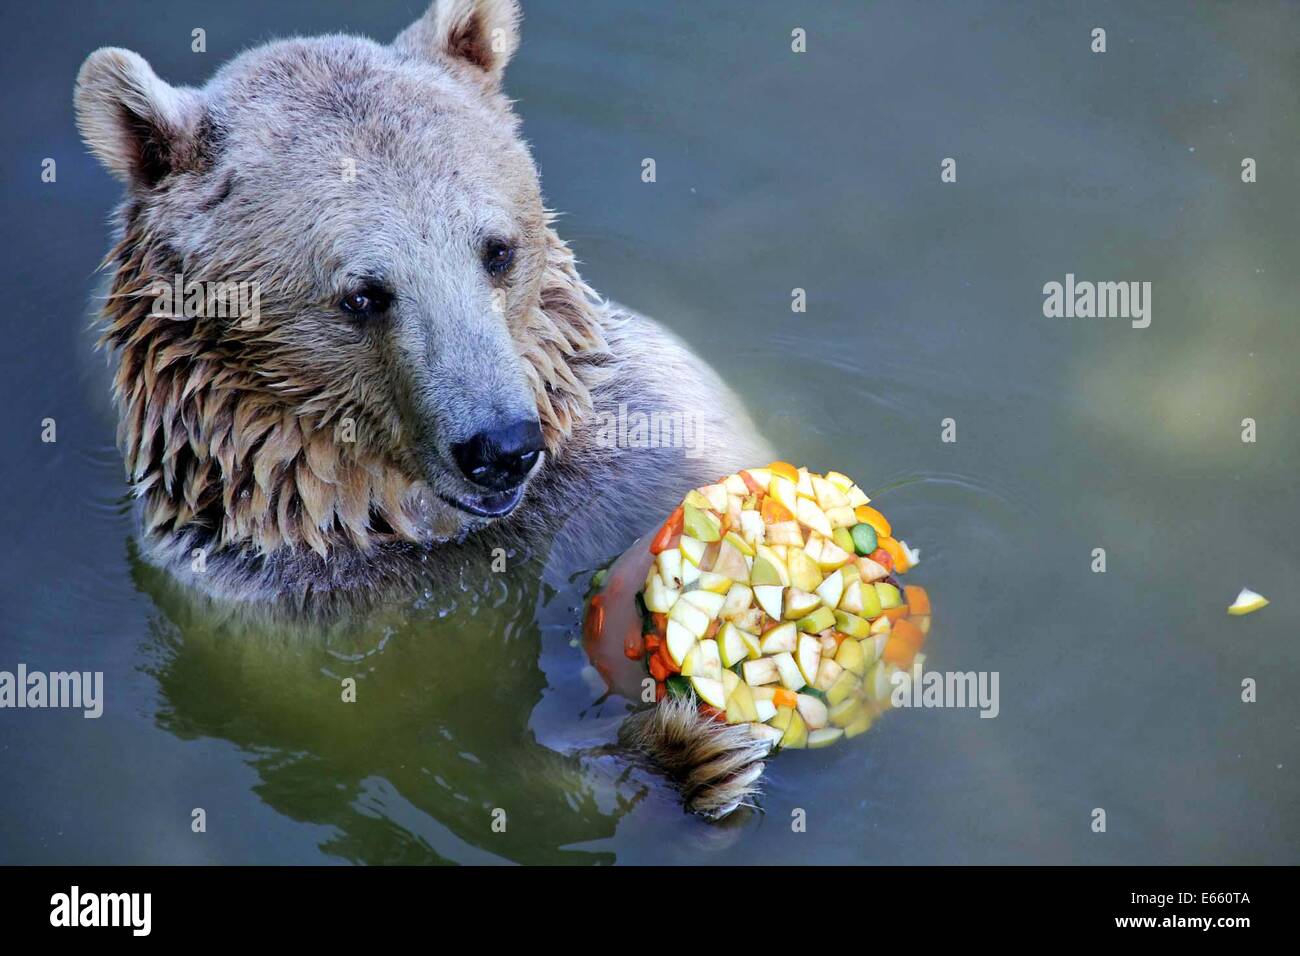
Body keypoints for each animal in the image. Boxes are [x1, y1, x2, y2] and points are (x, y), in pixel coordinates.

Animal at [76, 0, 773, 816]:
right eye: (362, 294)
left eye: (497, 250)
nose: (500, 447)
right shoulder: (280, 622)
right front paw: (692, 755)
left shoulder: (639, 446)